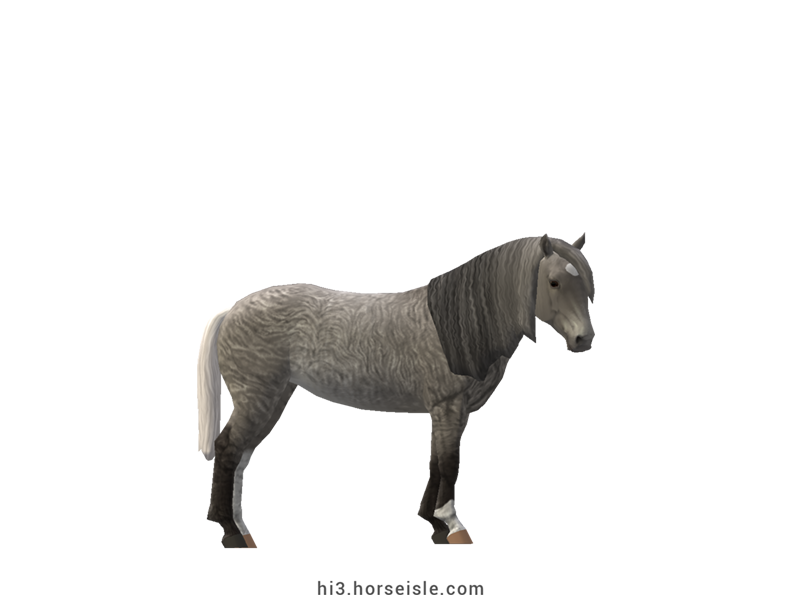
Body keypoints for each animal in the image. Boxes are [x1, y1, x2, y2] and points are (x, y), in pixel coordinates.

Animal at [197, 234, 595, 544]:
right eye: (554, 282)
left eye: (587, 280)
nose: (584, 338)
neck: (459, 326)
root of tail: (231, 311)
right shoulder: (449, 405)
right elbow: (449, 463)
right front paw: (450, 521)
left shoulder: (446, 408)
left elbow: (435, 464)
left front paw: (429, 521)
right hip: (255, 393)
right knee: (228, 449)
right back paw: (230, 530)